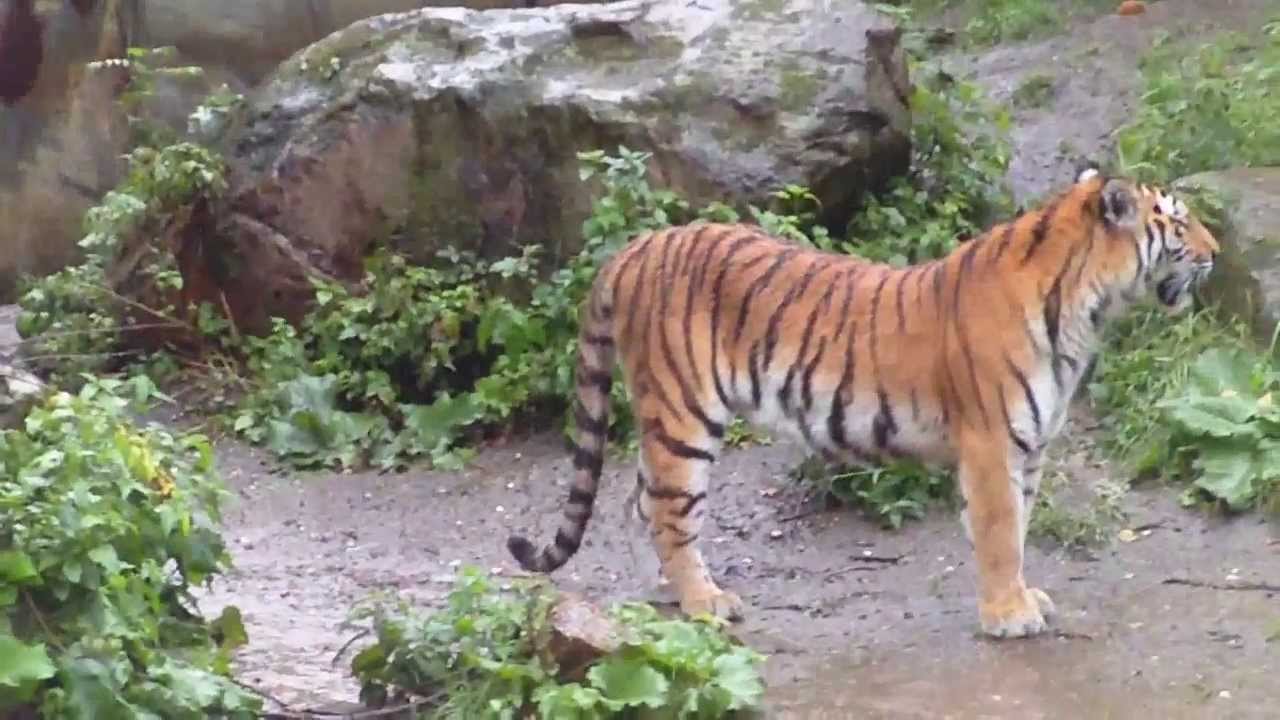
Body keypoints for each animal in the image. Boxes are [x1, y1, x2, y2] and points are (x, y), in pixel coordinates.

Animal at [506, 167, 1220, 638]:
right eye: (1180, 222)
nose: (1217, 255)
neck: (1086, 309)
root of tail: (635, 246)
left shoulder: (1031, 446)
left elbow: (1018, 529)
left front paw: (1022, 599)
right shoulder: (991, 444)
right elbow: (999, 533)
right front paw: (1007, 615)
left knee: (641, 500)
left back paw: (673, 592)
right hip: (683, 411)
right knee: (666, 508)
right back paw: (705, 601)